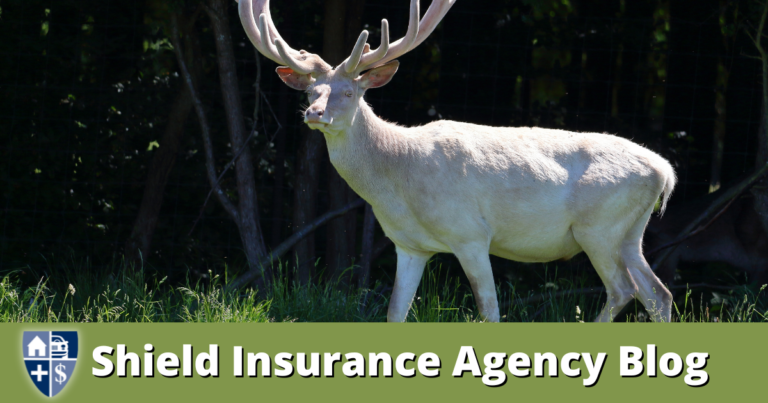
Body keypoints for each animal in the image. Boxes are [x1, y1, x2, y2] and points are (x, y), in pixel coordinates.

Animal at [238, 0, 677, 322]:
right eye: (311, 91)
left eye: (349, 93)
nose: (314, 114)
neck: (397, 182)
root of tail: (665, 172)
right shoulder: (407, 244)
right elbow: (395, 313)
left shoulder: (471, 233)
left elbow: (489, 312)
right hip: (629, 232)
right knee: (659, 293)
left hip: (598, 228)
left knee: (623, 289)